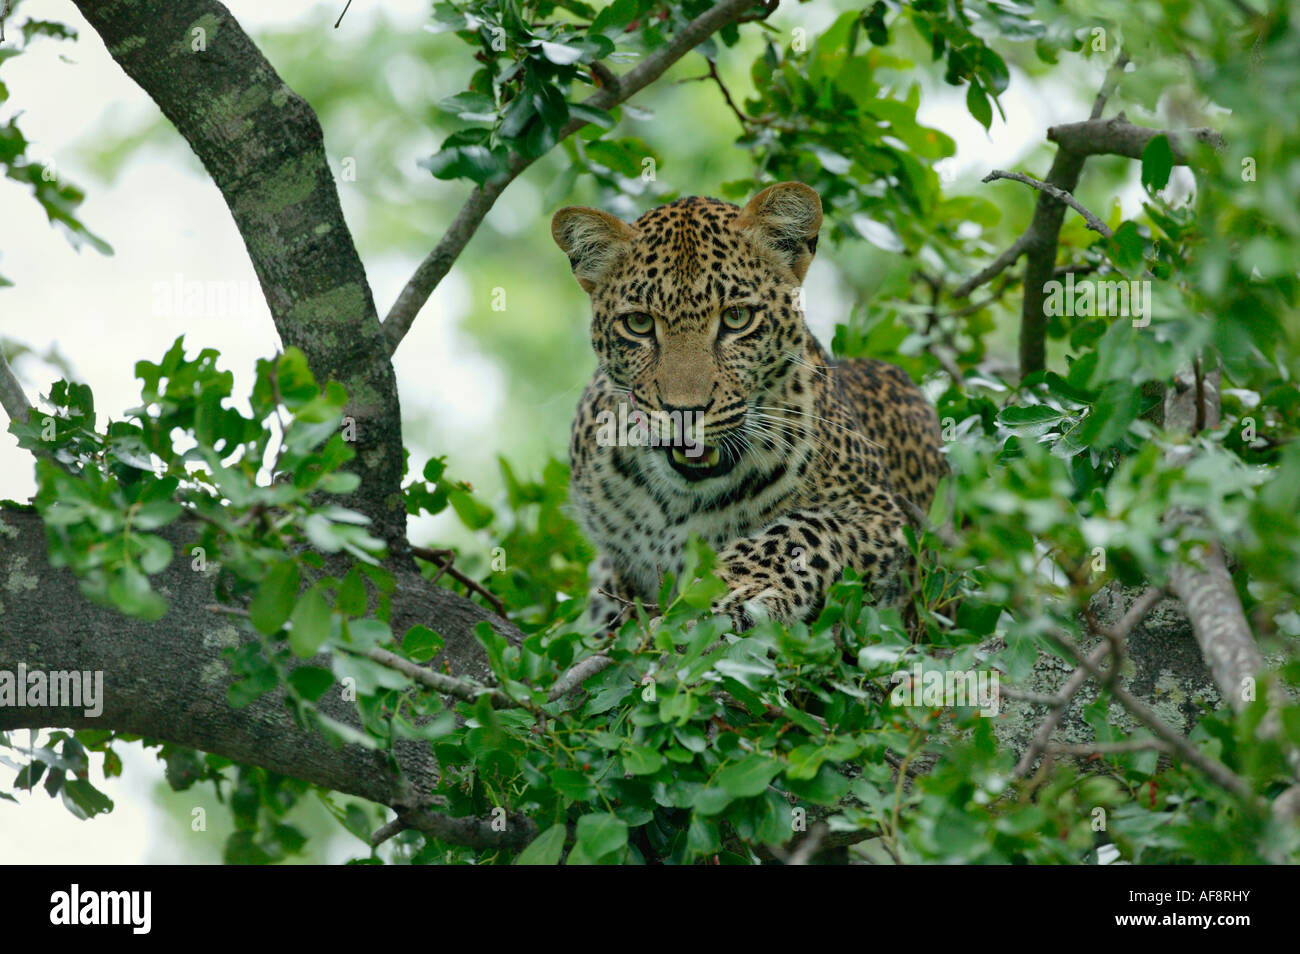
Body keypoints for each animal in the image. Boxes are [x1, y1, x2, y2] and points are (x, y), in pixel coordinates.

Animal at [551, 181, 946, 633]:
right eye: (638, 324)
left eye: (737, 317)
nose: (684, 411)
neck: (681, 504)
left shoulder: (883, 518)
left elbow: (801, 531)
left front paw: (728, 588)